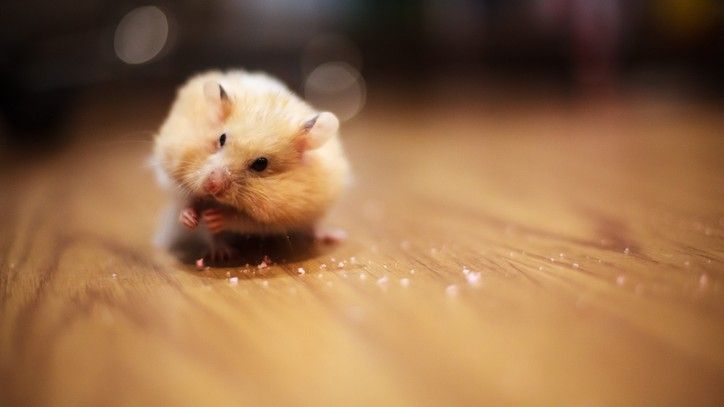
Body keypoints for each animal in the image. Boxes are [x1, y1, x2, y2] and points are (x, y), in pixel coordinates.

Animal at [151, 70, 351, 260]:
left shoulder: (278, 217)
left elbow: (245, 221)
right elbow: (189, 200)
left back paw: (334, 236)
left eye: (261, 164)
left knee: (314, 226)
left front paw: (215, 218)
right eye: (221, 139)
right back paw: (220, 253)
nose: (211, 186)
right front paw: (188, 218)